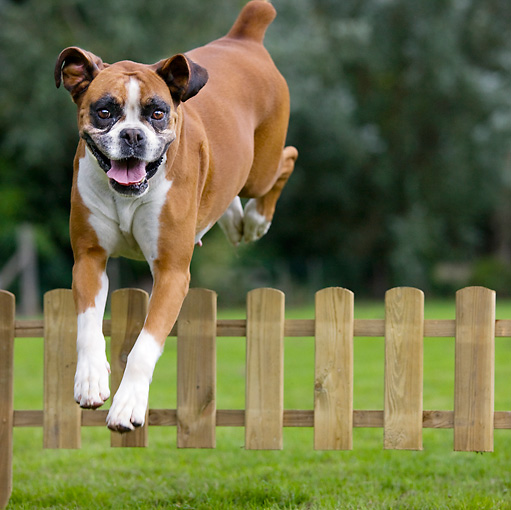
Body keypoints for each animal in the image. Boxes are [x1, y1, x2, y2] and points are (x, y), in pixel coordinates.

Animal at [54, 0, 298, 432]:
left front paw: (127, 405)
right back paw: (232, 218)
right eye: (104, 111)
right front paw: (90, 379)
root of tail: (243, 39)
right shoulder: (89, 260)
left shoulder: (171, 274)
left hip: (262, 167)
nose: (132, 135)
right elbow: (87, 325)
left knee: (287, 159)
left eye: (156, 113)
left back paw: (256, 219)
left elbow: (144, 345)